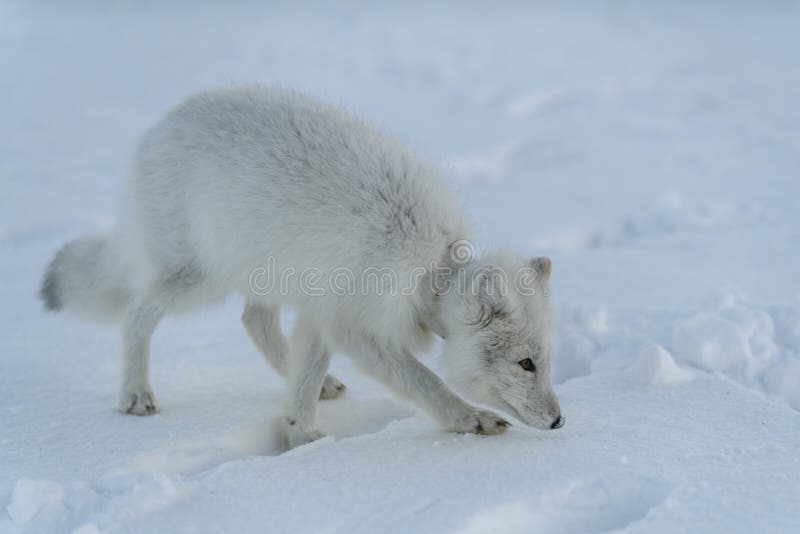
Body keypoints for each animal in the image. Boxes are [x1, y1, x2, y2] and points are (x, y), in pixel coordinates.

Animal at [40, 85, 563, 448]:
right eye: (526, 363)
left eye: (547, 360)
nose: (560, 421)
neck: (431, 269)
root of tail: (157, 129)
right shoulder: (357, 328)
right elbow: (426, 382)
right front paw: (471, 420)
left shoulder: (322, 316)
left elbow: (303, 384)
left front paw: (300, 440)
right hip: (197, 281)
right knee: (136, 314)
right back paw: (134, 394)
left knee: (254, 321)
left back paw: (319, 384)